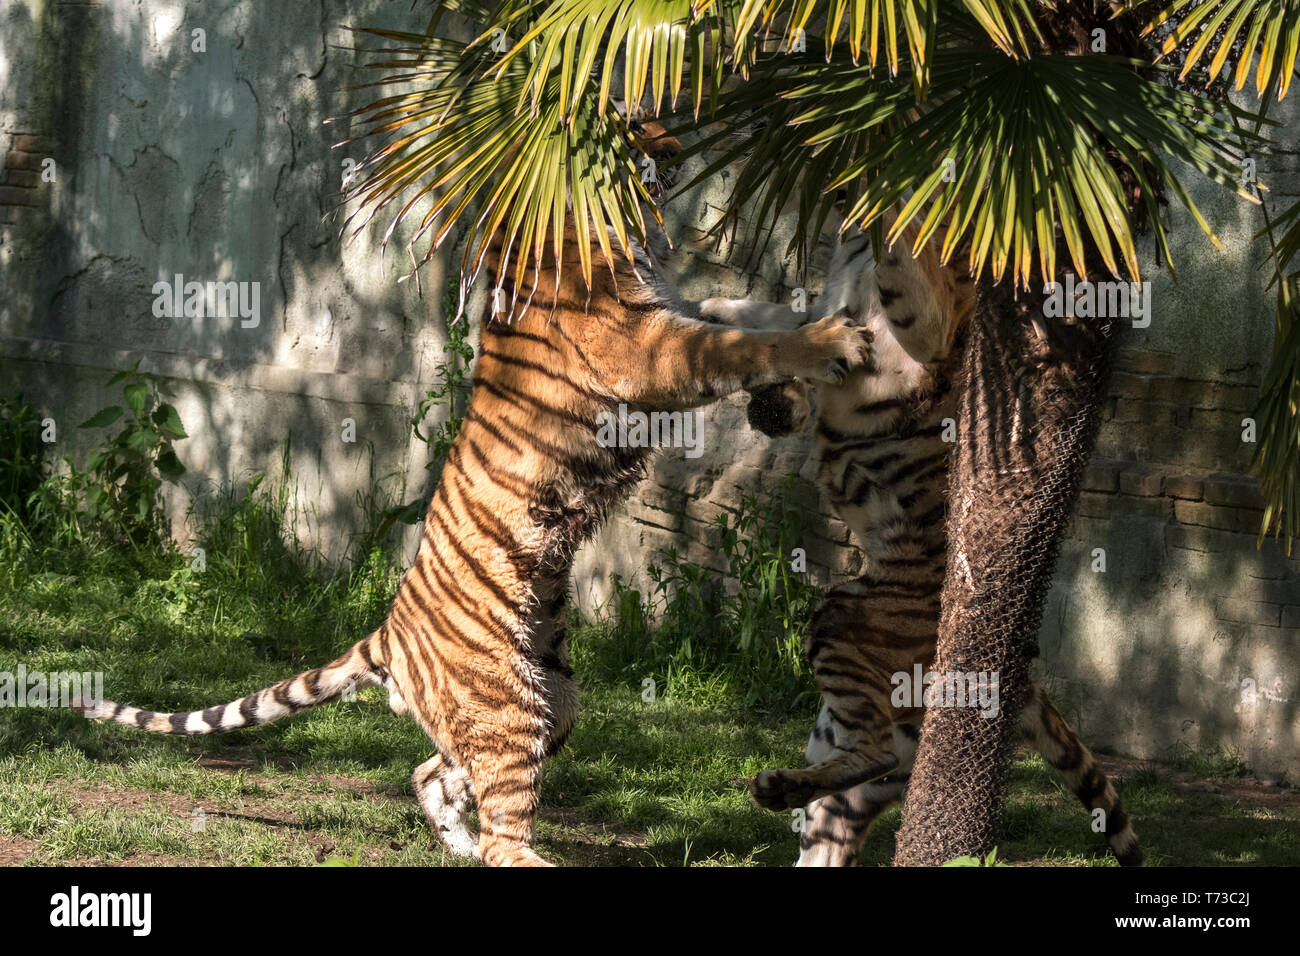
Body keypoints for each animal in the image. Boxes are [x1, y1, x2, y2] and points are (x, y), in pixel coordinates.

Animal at [75, 127, 873, 867]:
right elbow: (739, 344)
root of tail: (386, 633)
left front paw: (804, 348)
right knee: (502, 832)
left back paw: (455, 842)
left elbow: (741, 310)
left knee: (435, 772)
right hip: (508, 702)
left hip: (554, 699)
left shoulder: (677, 308)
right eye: (626, 123)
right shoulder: (650, 348)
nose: (675, 146)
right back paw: (515, 856)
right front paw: (834, 339)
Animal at [700, 219, 1143, 867]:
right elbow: (787, 319)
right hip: (845, 755)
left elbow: (890, 277)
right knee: (839, 808)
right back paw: (782, 790)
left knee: (873, 751)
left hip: (842, 617)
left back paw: (772, 787)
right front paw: (718, 306)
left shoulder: (926, 330)